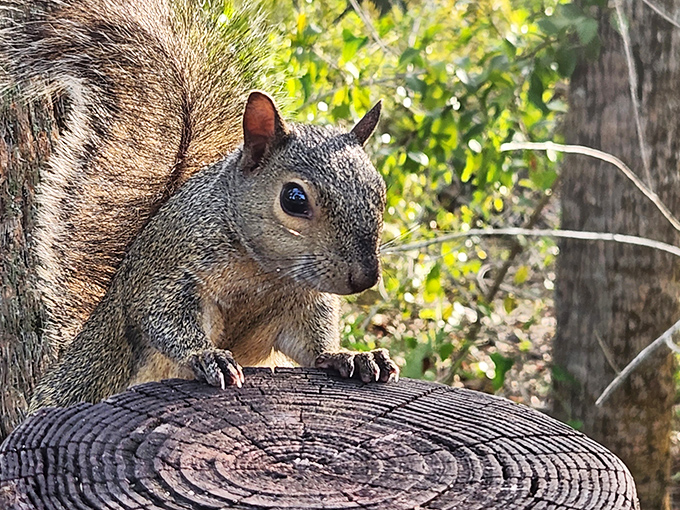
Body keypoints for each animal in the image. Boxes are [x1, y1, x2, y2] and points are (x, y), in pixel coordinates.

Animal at [0, 0, 399, 412]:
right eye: (294, 199)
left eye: (379, 188)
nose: (365, 278)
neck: (265, 273)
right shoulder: (172, 272)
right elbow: (164, 318)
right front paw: (207, 356)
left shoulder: (301, 301)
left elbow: (312, 344)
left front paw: (351, 356)